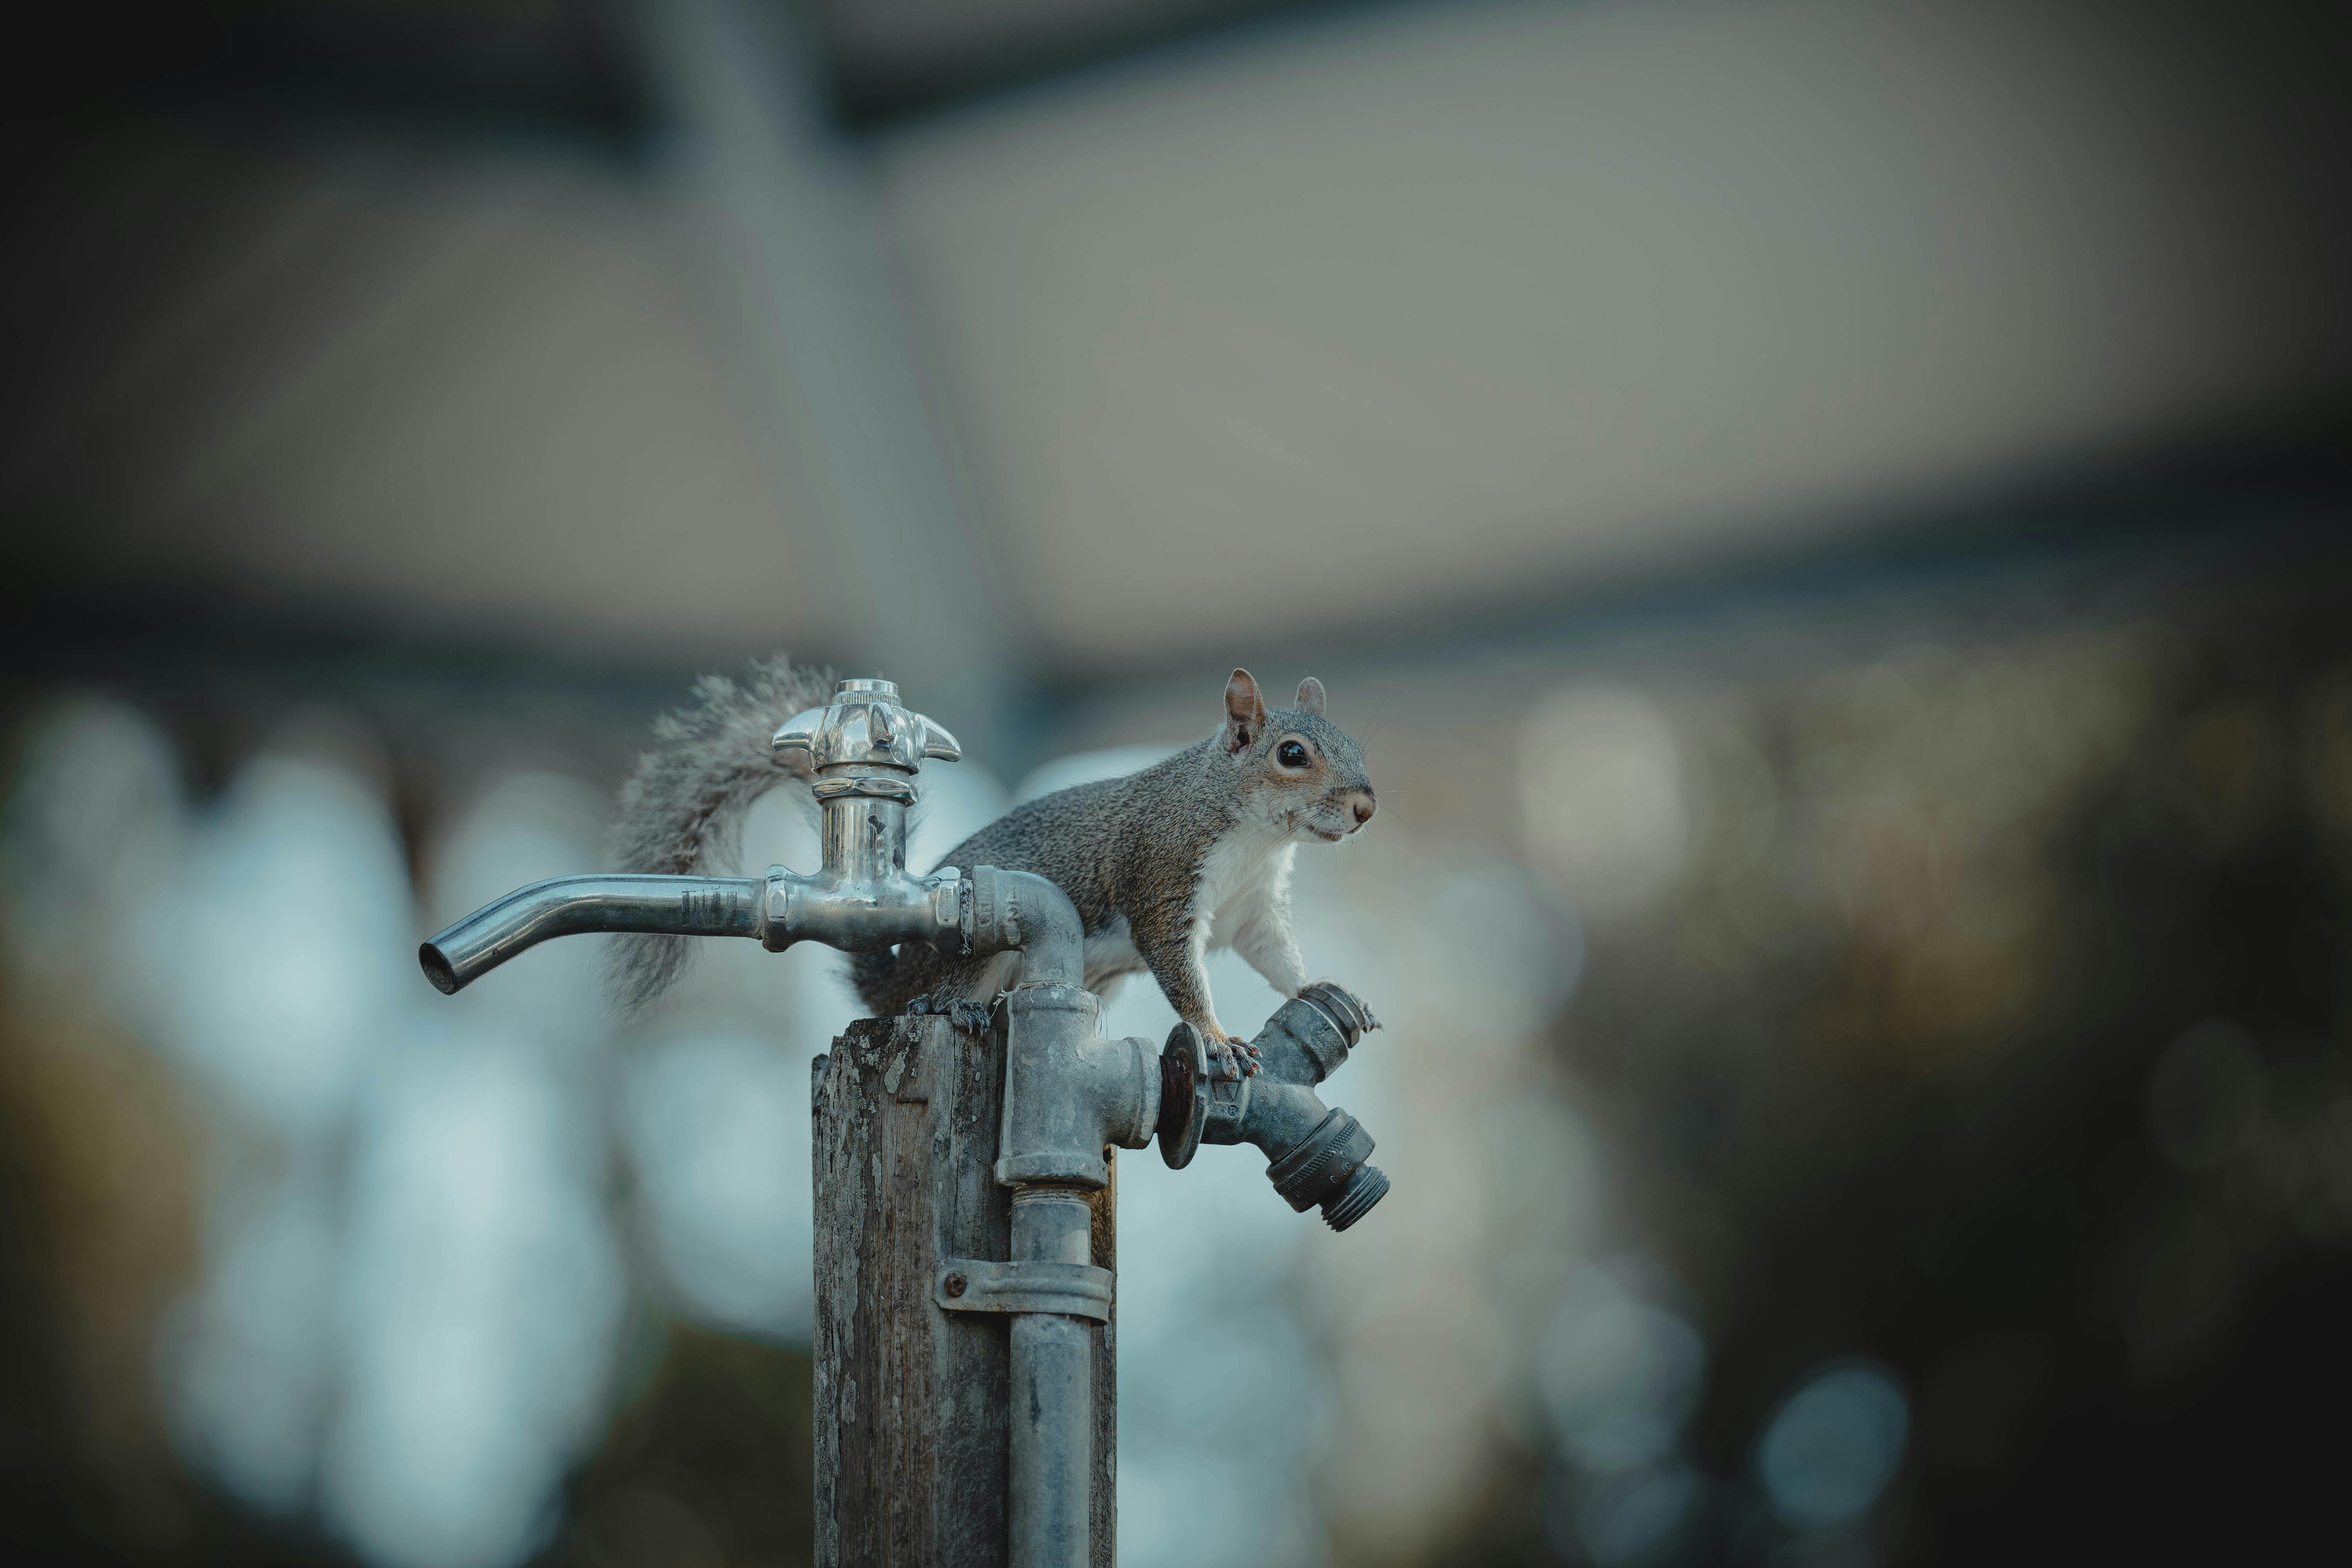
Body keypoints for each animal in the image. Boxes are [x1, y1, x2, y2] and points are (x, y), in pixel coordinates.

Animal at [605, 660, 1377, 1075]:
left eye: (1355, 743)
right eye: (1293, 754)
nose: (1367, 807)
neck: (1257, 840)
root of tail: (888, 980)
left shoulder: (1253, 908)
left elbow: (1275, 955)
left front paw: (1319, 986)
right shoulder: (1163, 878)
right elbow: (1181, 971)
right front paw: (1216, 1038)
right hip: (972, 944)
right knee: (938, 994)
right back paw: (953, 1007)